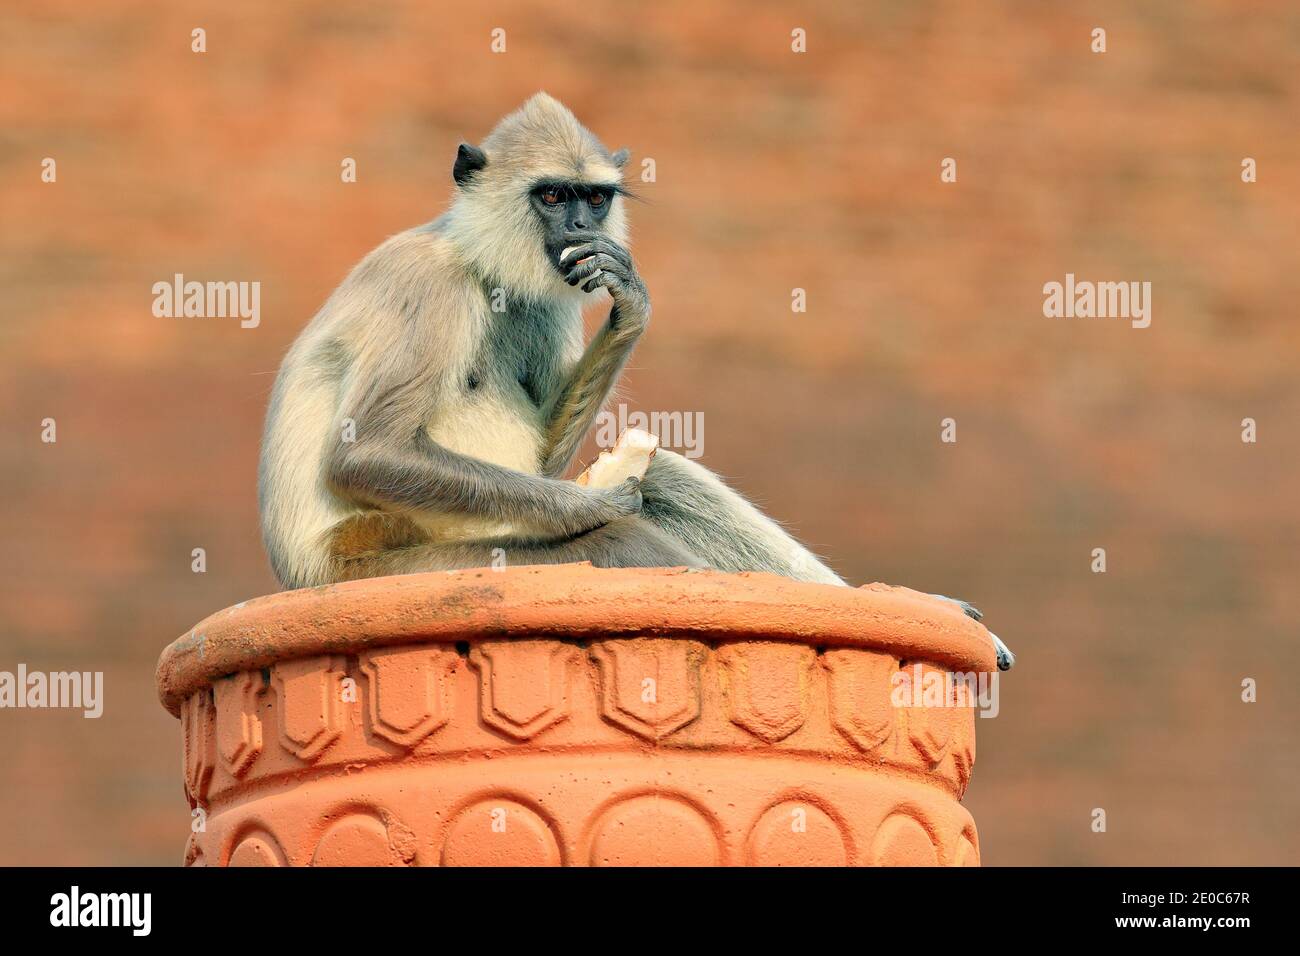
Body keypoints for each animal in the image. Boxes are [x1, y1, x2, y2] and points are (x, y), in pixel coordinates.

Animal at [257, 93, 1014, 670]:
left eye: (594, 199)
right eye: (552, 195)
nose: (577, 223)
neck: (477, 263)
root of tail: (303, 576)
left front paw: (632, 305)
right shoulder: (425, 284)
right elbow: (366, 455)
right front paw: (591, 503)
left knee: (668, 477)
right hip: (396, 568)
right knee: (618, 541)